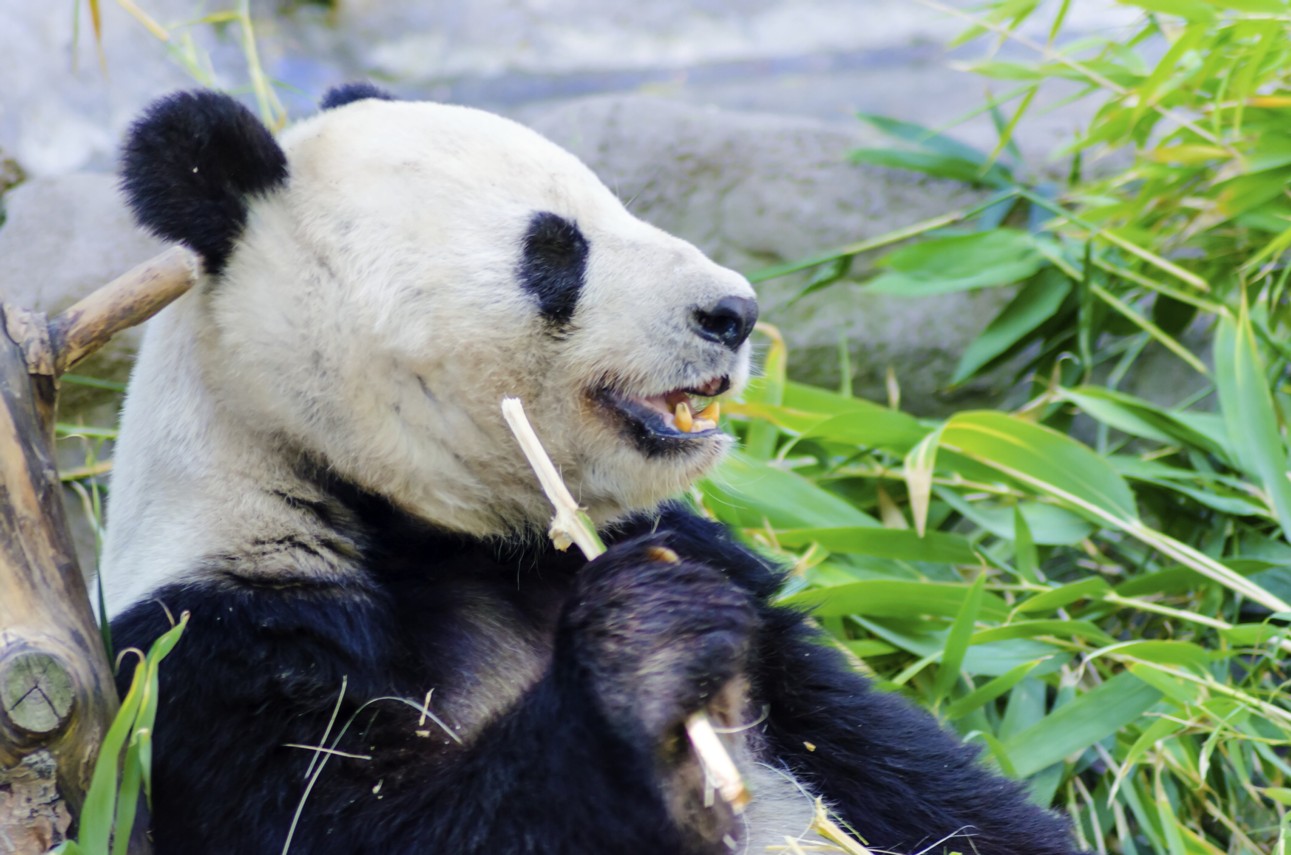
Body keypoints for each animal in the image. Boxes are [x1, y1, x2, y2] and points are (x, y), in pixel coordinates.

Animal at [101, 83, 1082, 855]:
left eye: (619, 208)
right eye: (556, 249)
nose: (733, 311)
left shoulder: (698, 553)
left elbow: (886, 760)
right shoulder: (218, 647)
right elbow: (357, 821)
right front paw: (644, 649)